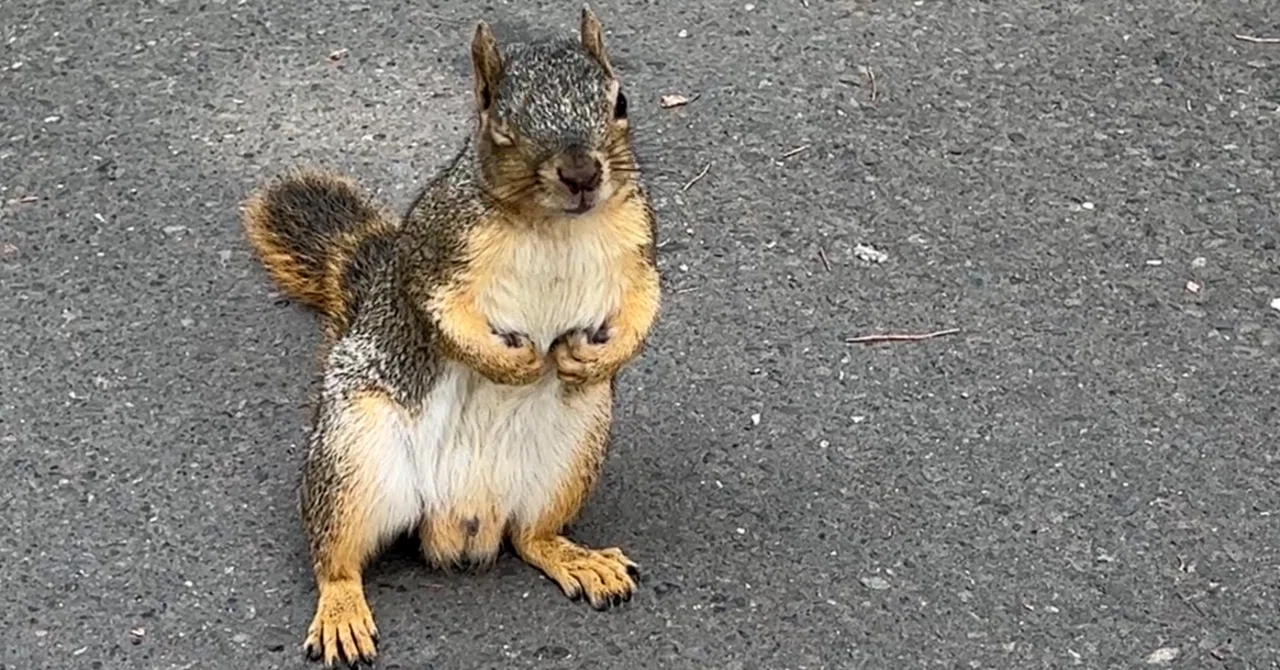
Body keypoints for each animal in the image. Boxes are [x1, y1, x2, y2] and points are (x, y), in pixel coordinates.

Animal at [240, 7, 661, 667]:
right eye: (501, 122)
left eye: (620, 102)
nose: (582, 174)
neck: (554, 226)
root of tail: (462, 517)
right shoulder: (433, 253)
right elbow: (442, 316)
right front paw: (511, 365)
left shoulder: (638, 243)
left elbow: (646, 305)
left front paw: (597, 358)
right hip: (352, 454)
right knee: (335, 556)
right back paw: (340, 609)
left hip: (575, 451)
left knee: (530, 536)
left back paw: (577, 559)